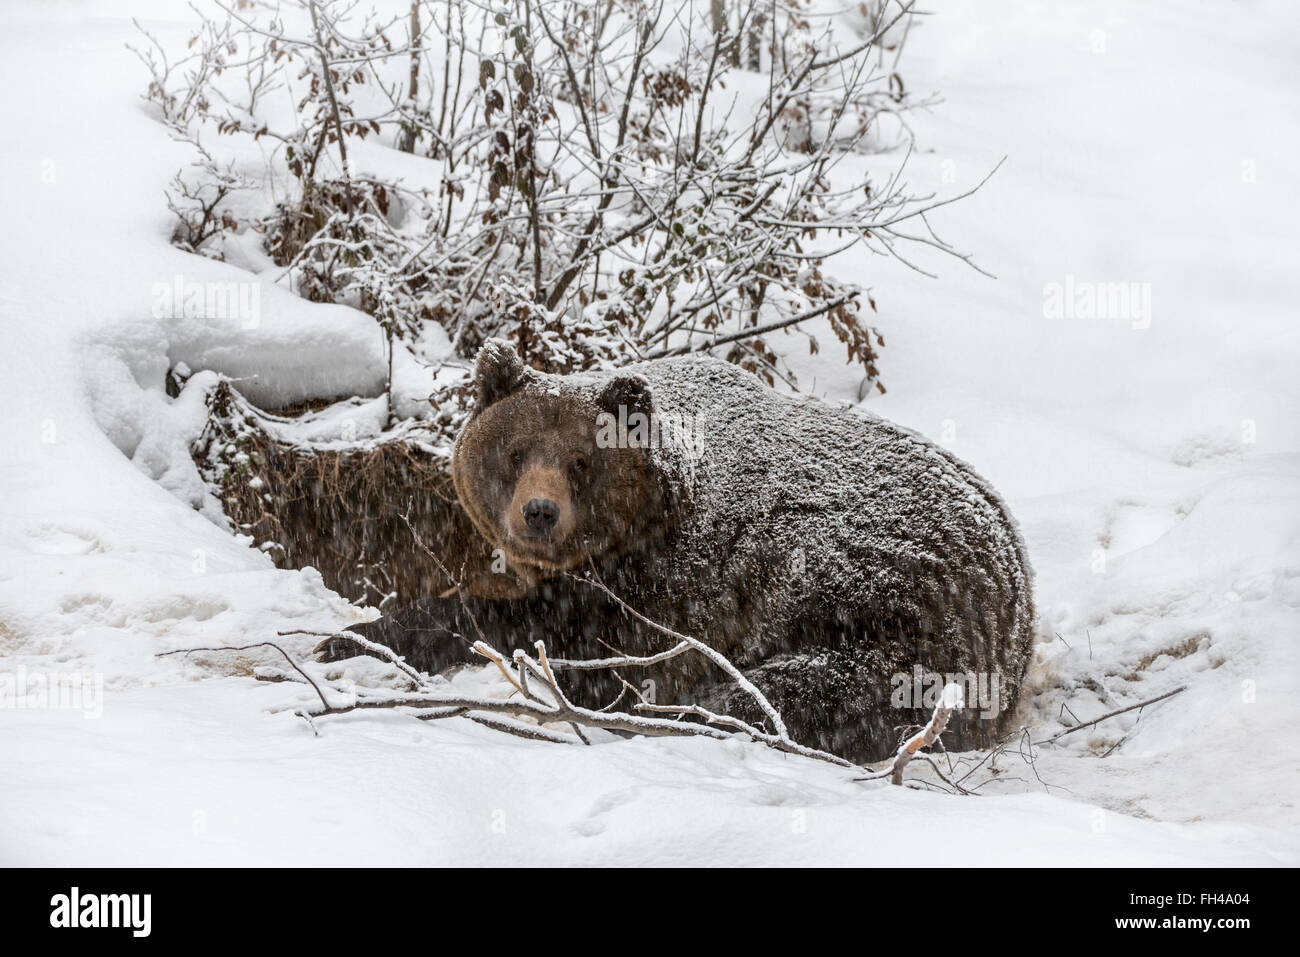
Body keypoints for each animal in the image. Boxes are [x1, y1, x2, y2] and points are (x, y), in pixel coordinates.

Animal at [320, 338, 1037, 763]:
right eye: (516, 452)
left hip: (883, 596)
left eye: (581, 461)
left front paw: (356, 636)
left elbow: (550, 633)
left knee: (817, 686)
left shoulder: (666, 585)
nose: (539, 512)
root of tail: (1019, 580)